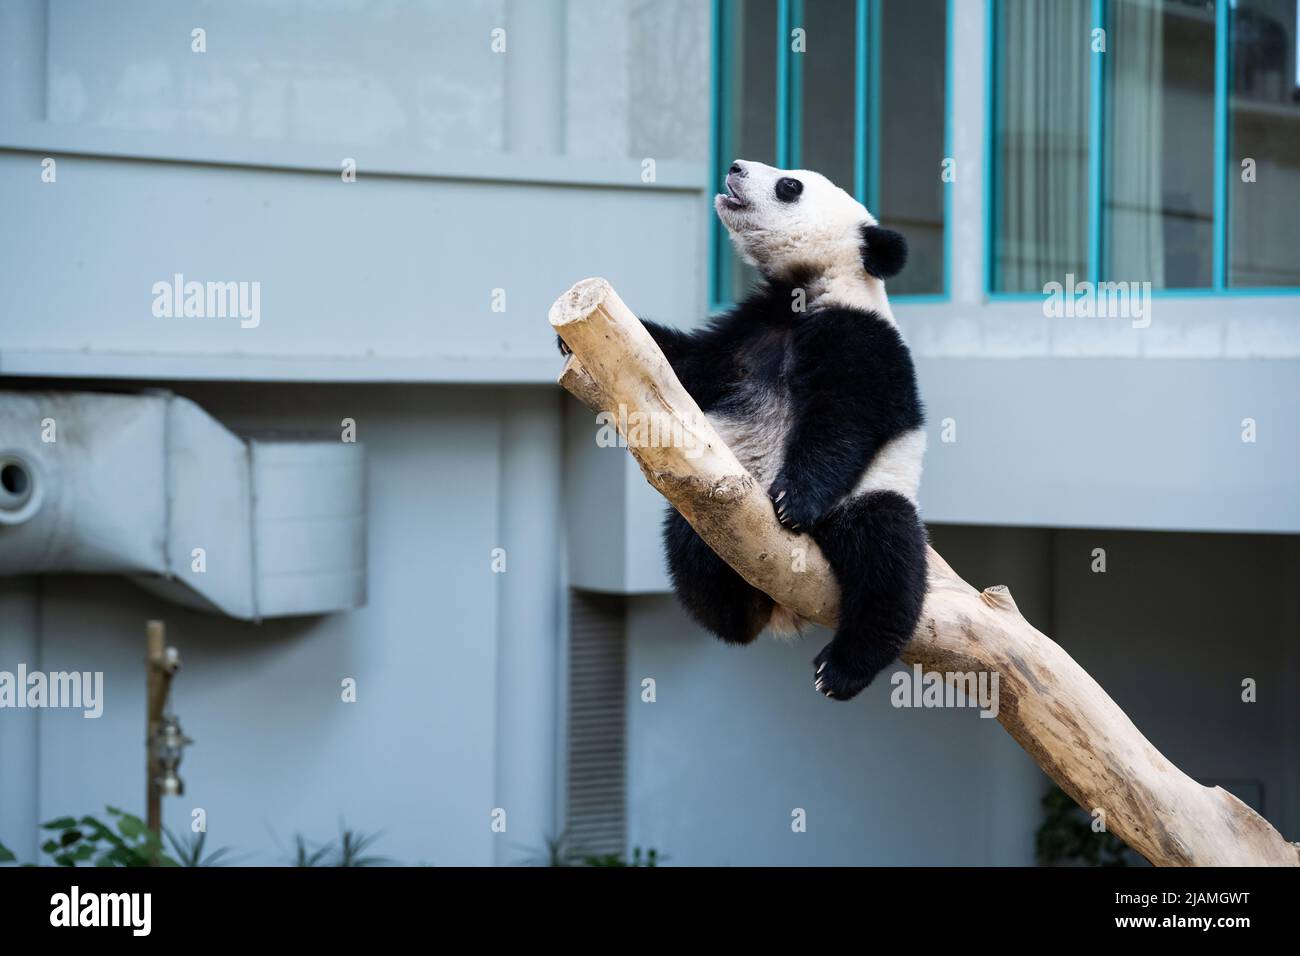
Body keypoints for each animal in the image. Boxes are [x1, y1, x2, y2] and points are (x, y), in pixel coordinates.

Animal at [564, 159, 928, 701]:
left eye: (789, 186)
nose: (734, 167)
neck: (804, 293)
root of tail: (783, 608)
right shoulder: (745, 332)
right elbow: (686, 365)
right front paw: (572, 344)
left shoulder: (863, 339)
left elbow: (846, 421)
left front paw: (794, 500)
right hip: (710, 516)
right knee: (690, 543)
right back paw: (732, 611)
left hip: (872, 493)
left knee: (887, 555)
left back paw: (841, 669)